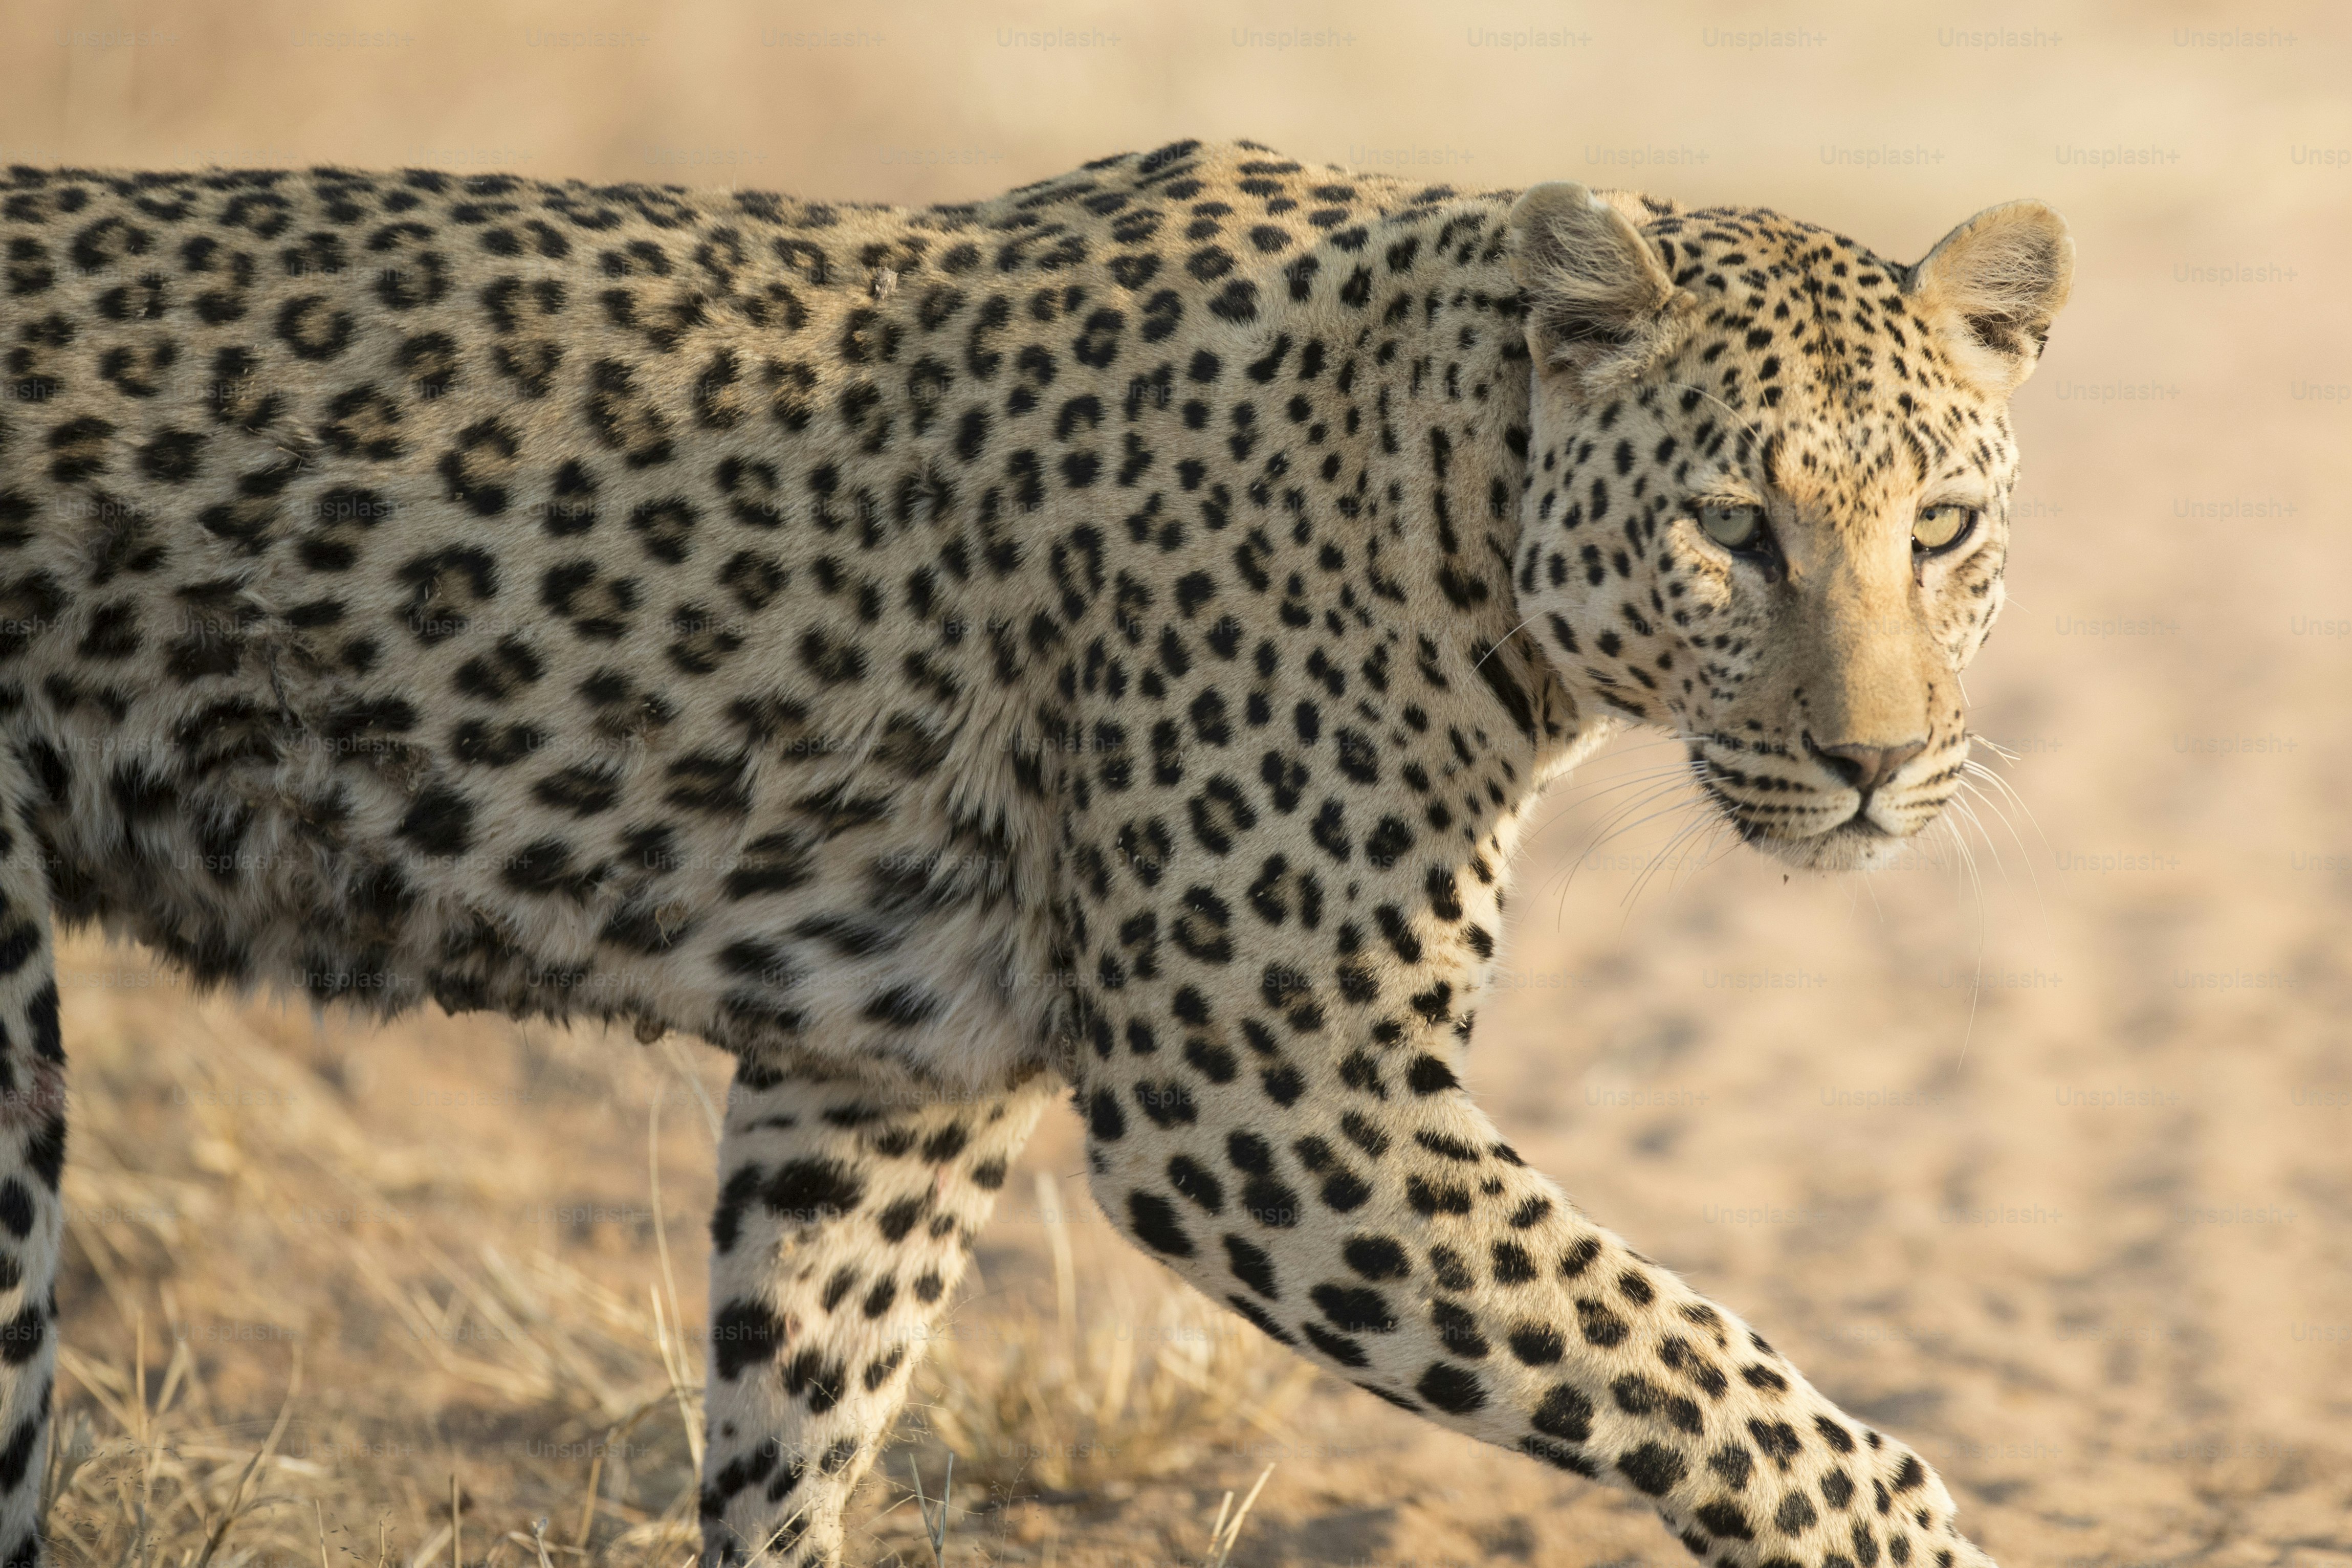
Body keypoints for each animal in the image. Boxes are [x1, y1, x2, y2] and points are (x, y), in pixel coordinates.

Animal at [0, 138, 2072, 1567]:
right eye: (1726, 526)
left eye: (1940, 526)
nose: (1876, 762)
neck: (1449, 496)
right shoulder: (1273, 1098)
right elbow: (1724, 1390)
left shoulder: (891, 1079)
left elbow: (796, 1414)